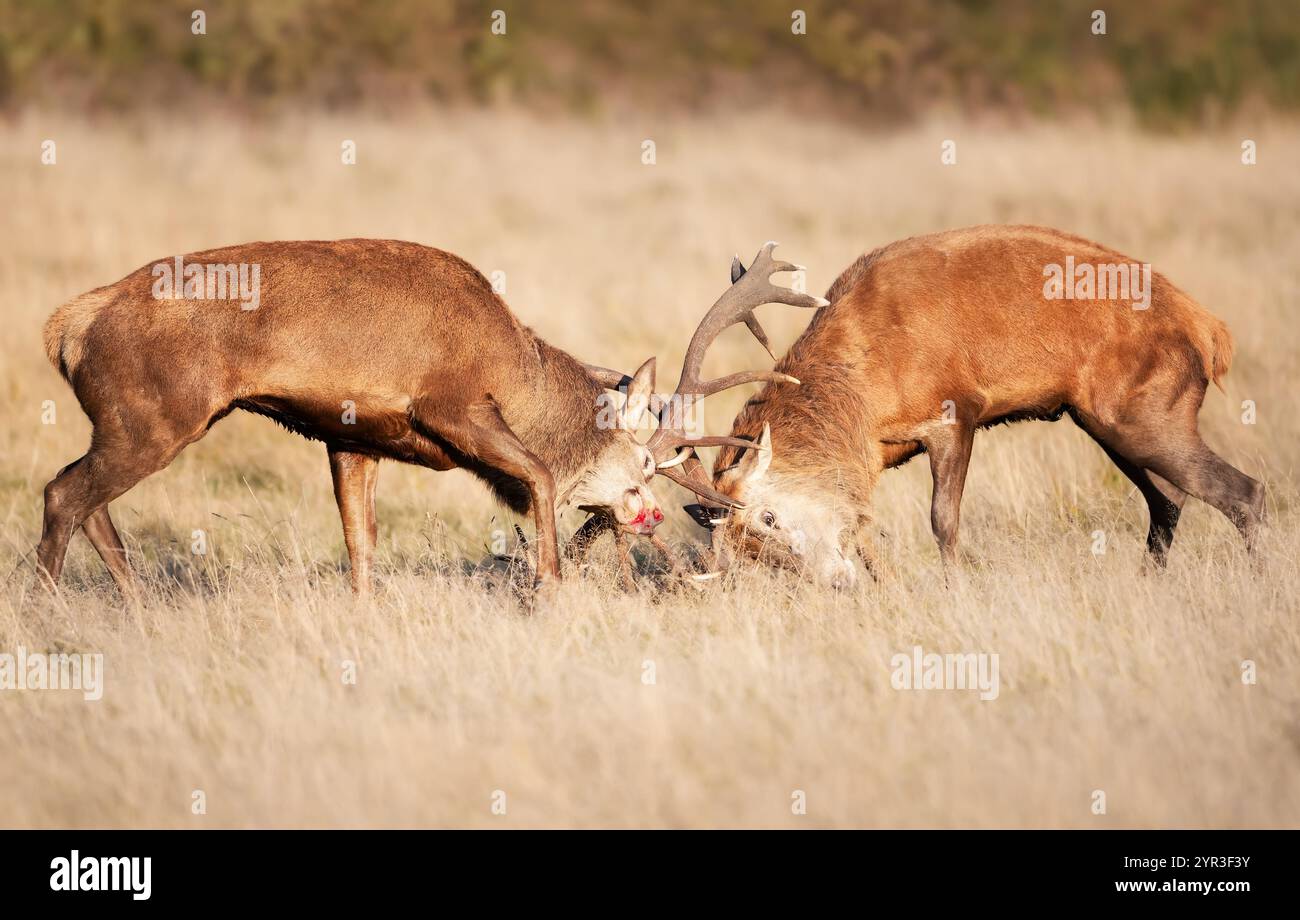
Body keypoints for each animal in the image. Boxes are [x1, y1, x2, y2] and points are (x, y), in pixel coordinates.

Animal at [37, 238, 689, 597]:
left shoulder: (353, 439)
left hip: (125, 424)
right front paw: (547, 587)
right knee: (62, 493)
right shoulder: (449, 402)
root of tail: (67, 329)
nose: (655, 514)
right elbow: (540, 474)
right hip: (154, 419)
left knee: (84, 499)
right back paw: (45, 609)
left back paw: (136, 604)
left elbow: (360, 539)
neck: (519, 377)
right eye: (645, 461)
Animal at [683, 226, 1266, 589]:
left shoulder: (953, 413)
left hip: (1144, 418)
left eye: (767, 517)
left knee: (1244, 492)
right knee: (1169, 500)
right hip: (1108, 424)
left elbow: (943, 521)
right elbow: (866, 534)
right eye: (753, 552)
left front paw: (954, 591)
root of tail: (1210, 331)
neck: (863, 395)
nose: (833, 583)